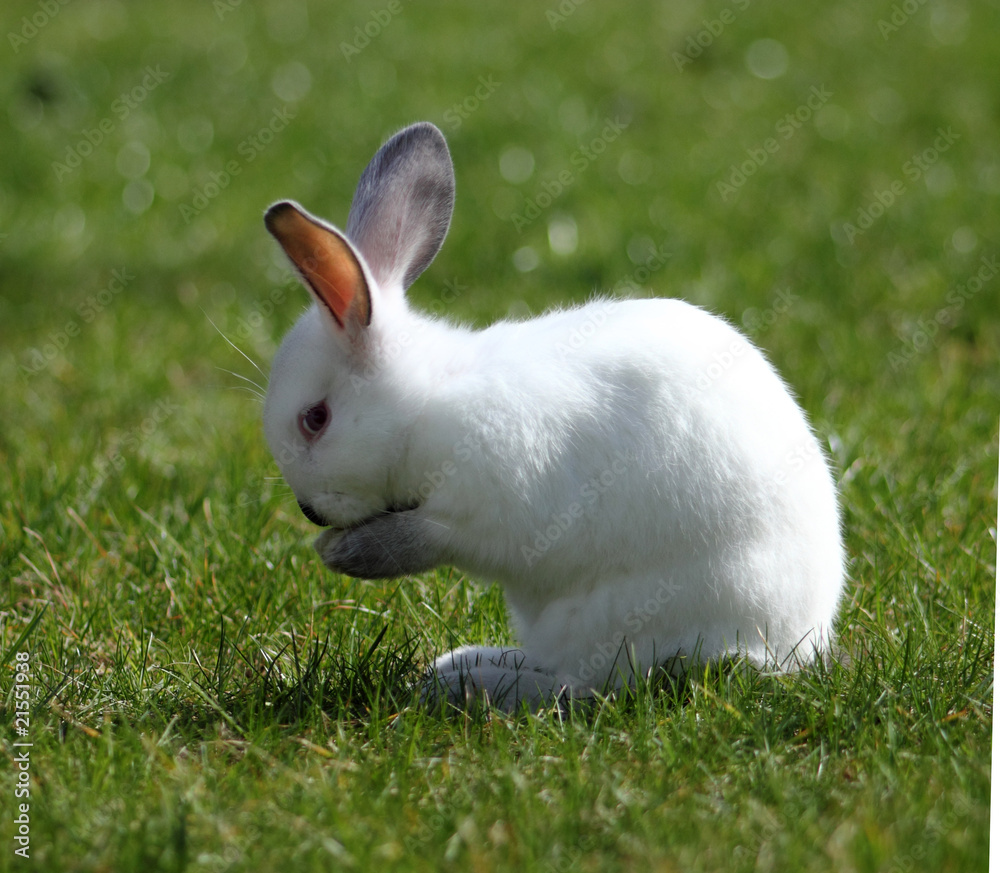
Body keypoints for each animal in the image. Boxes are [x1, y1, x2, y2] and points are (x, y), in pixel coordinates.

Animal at [261, 121, 845, 712]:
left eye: (315, 418)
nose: (310, 513)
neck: (424, 406)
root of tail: (793, 645)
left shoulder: (485, 510)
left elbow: (428, 537)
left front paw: (345, 553)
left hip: (615, 620)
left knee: (585, 686)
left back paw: (466, 684)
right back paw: (465, 663)